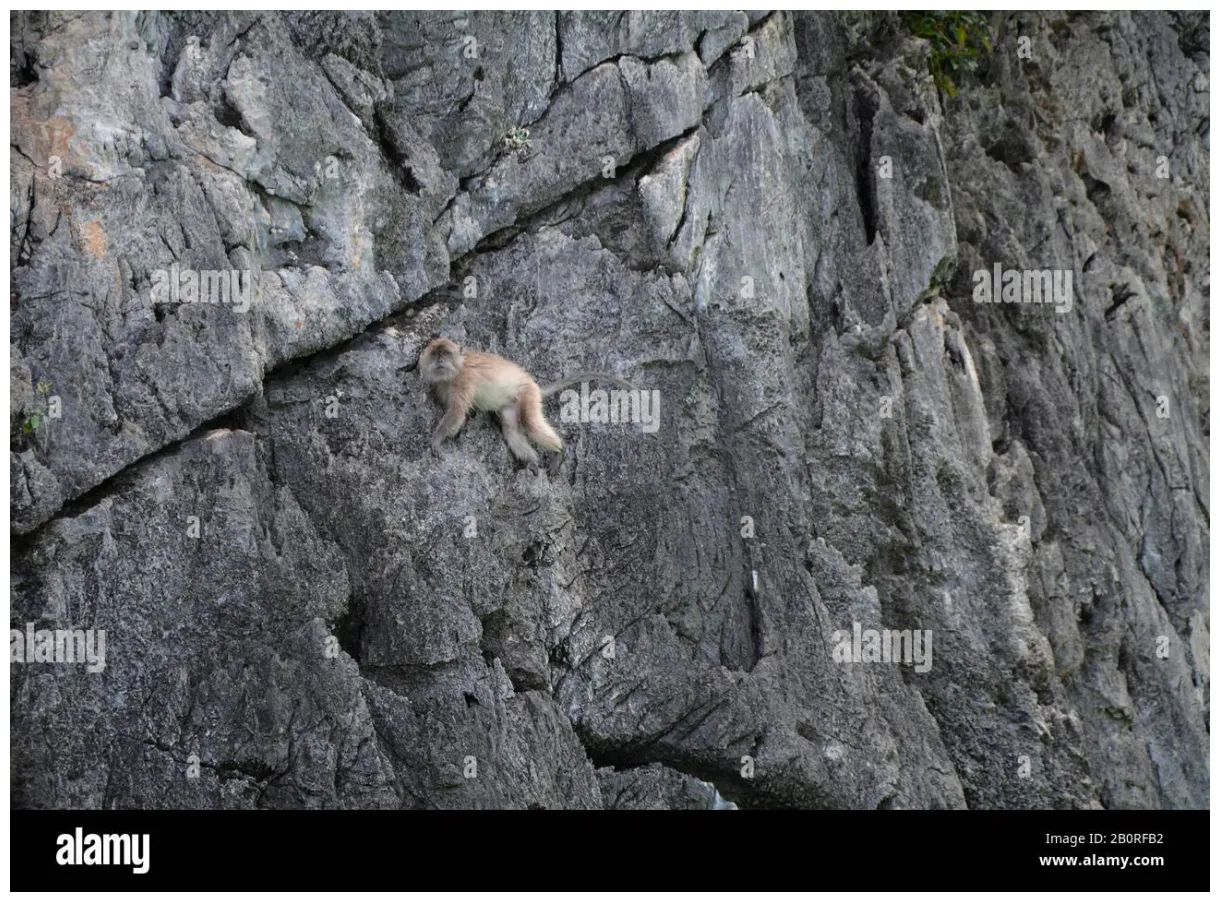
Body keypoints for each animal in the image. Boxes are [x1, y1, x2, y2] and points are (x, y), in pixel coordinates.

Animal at [418, 337, 636, 467]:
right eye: (435, 353)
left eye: (445, 353)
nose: (439, 359)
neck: (454, 371)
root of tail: (534, 385)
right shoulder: (441, 385)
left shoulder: (463, 380)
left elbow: (457, 412)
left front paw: (437, 439)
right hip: (512, 403)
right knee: (511, 429)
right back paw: (533, 462)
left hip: (528, 395)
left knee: (531, 424)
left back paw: (560, 451)